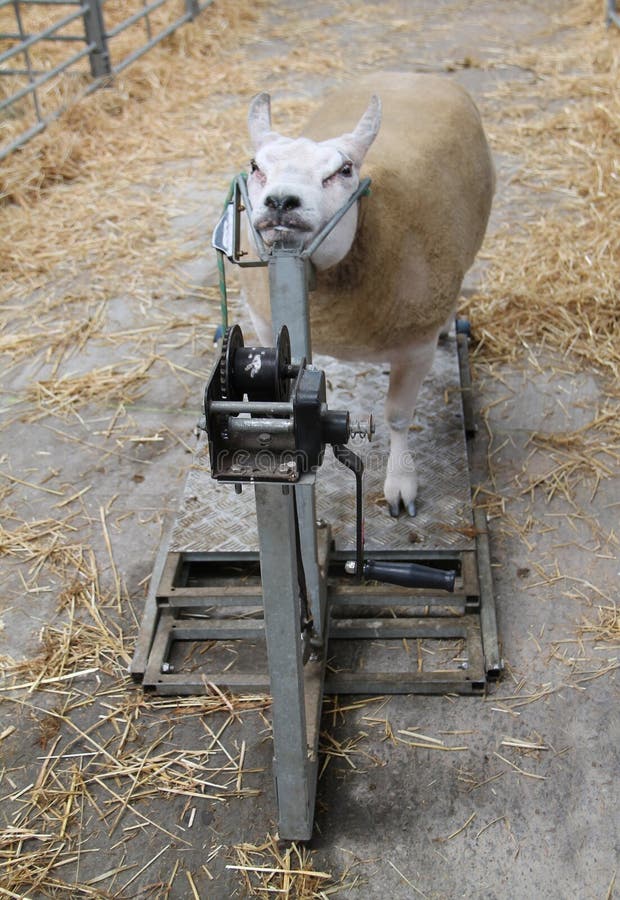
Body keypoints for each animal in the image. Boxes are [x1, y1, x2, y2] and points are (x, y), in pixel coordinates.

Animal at [241, 72, 495, 516]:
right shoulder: (265, 326)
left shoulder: (415, 348)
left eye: (344, 170)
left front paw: (400, 481)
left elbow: (397, 417)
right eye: (256, 167)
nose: (282, 202)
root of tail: (408, 74)